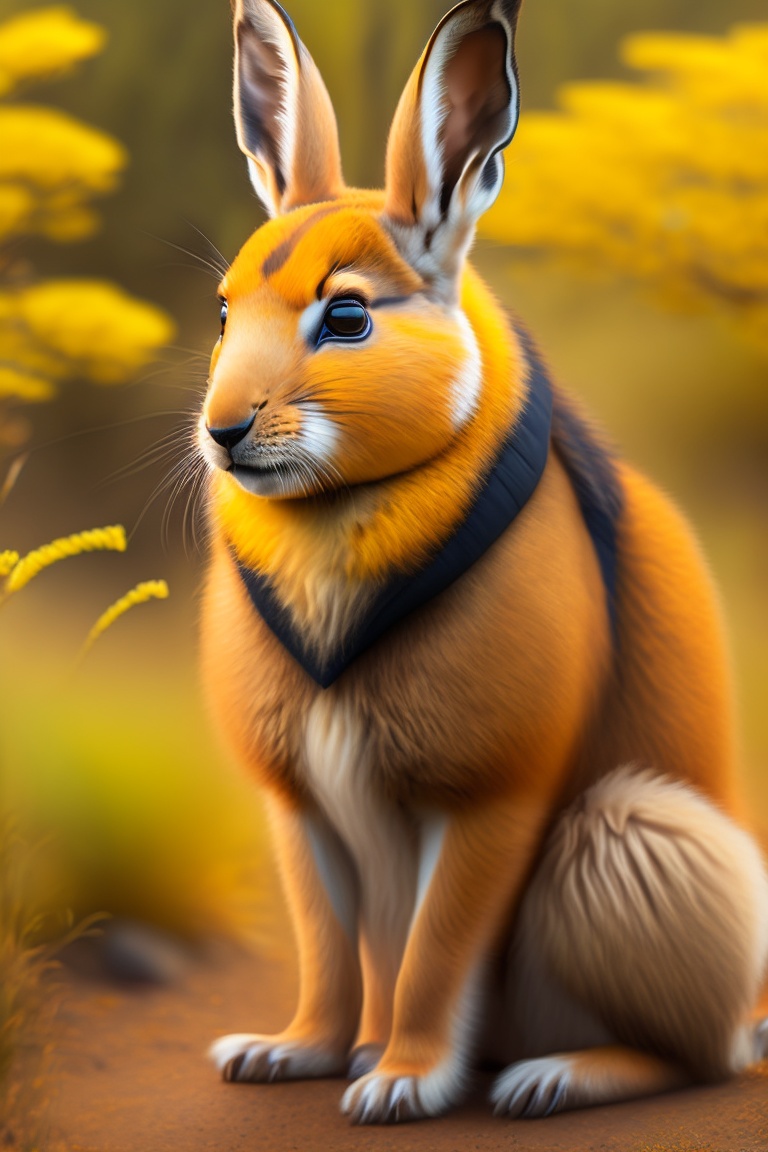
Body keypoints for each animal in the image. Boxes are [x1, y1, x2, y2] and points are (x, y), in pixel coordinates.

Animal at [201, 0, 768, 1124]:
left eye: (347, 315)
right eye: (225, 310)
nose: (223, 432)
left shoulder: (489, 799)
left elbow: (436, 950)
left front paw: (402, 1083)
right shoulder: (296, 805)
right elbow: (324, 945)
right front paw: (291, 1052)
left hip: (620, 834)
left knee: (695, 1056)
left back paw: (551, 1076)